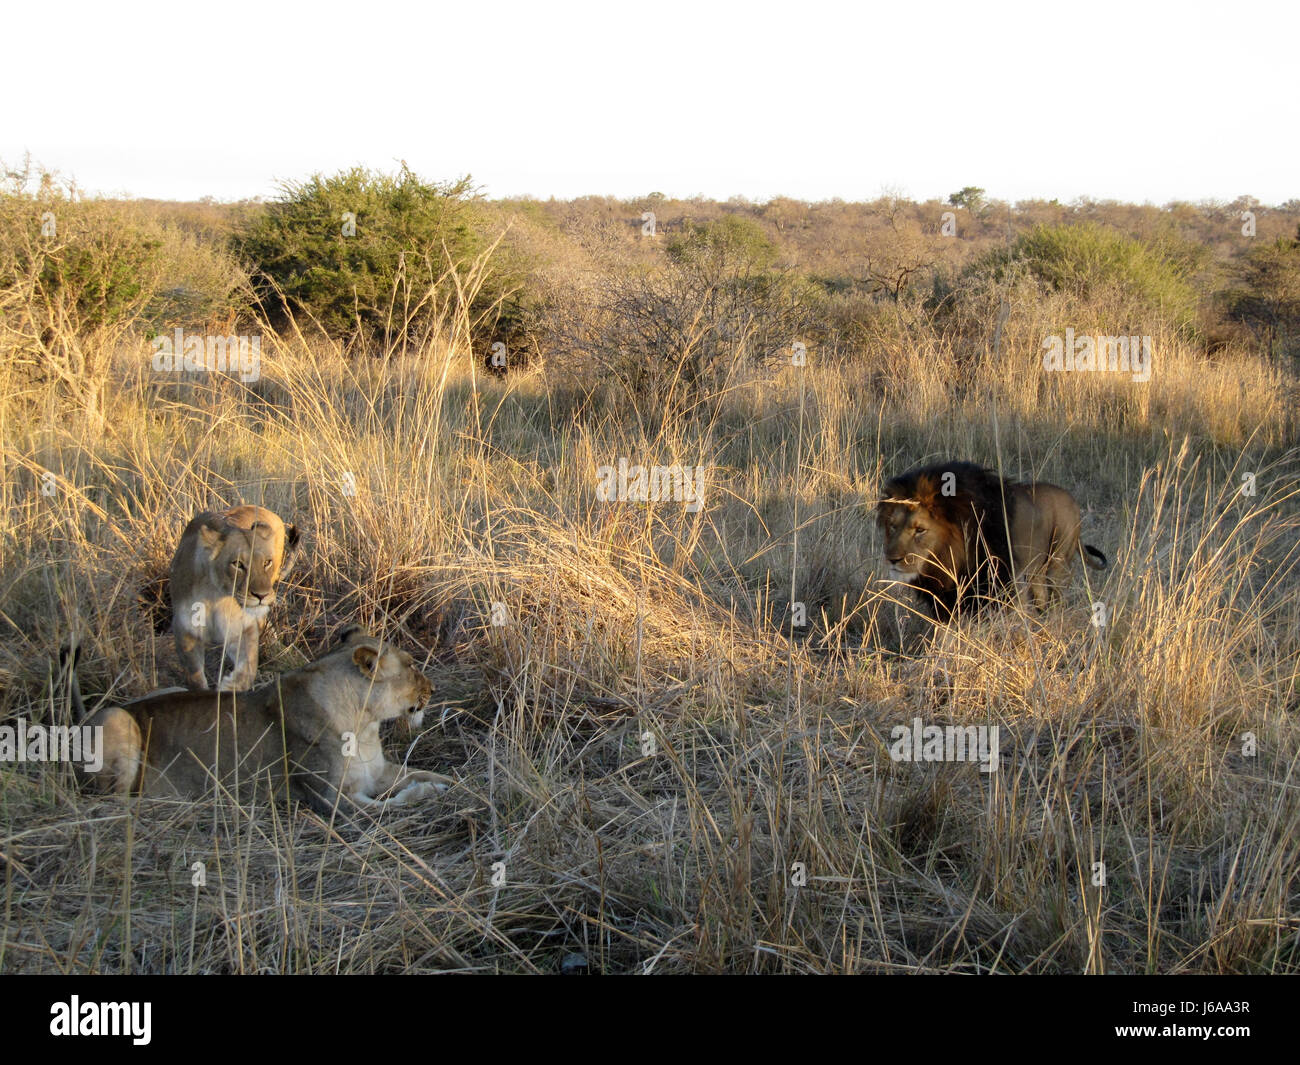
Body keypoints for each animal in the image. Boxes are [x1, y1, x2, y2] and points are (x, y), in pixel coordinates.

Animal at [62, 628, 453, 816]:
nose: (434, 689)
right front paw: (430, 793)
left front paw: (453, 783)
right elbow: (395, 802)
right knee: (111, 802)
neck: (364, 723)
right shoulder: (331, 800)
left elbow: (417, 772)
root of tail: (80, 722)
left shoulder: (378, 771)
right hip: (117, 719)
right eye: (411, 665)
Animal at [169, 504, 301, 691]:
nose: (262, 595)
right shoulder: (184, 630)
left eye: (267, 562)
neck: (214, 596)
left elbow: (249, 667)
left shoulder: (242, 627)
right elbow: (194, 676)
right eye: (237, 564)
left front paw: (229, 687)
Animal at [875, 460, 1107, 620]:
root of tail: (1074, 503)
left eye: (920, 530)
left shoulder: (1001, 584)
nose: (892, 559)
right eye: (893, 526)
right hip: (1037, 574)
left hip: (1057, 564)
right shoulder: (947, 599)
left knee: (1056, 601)